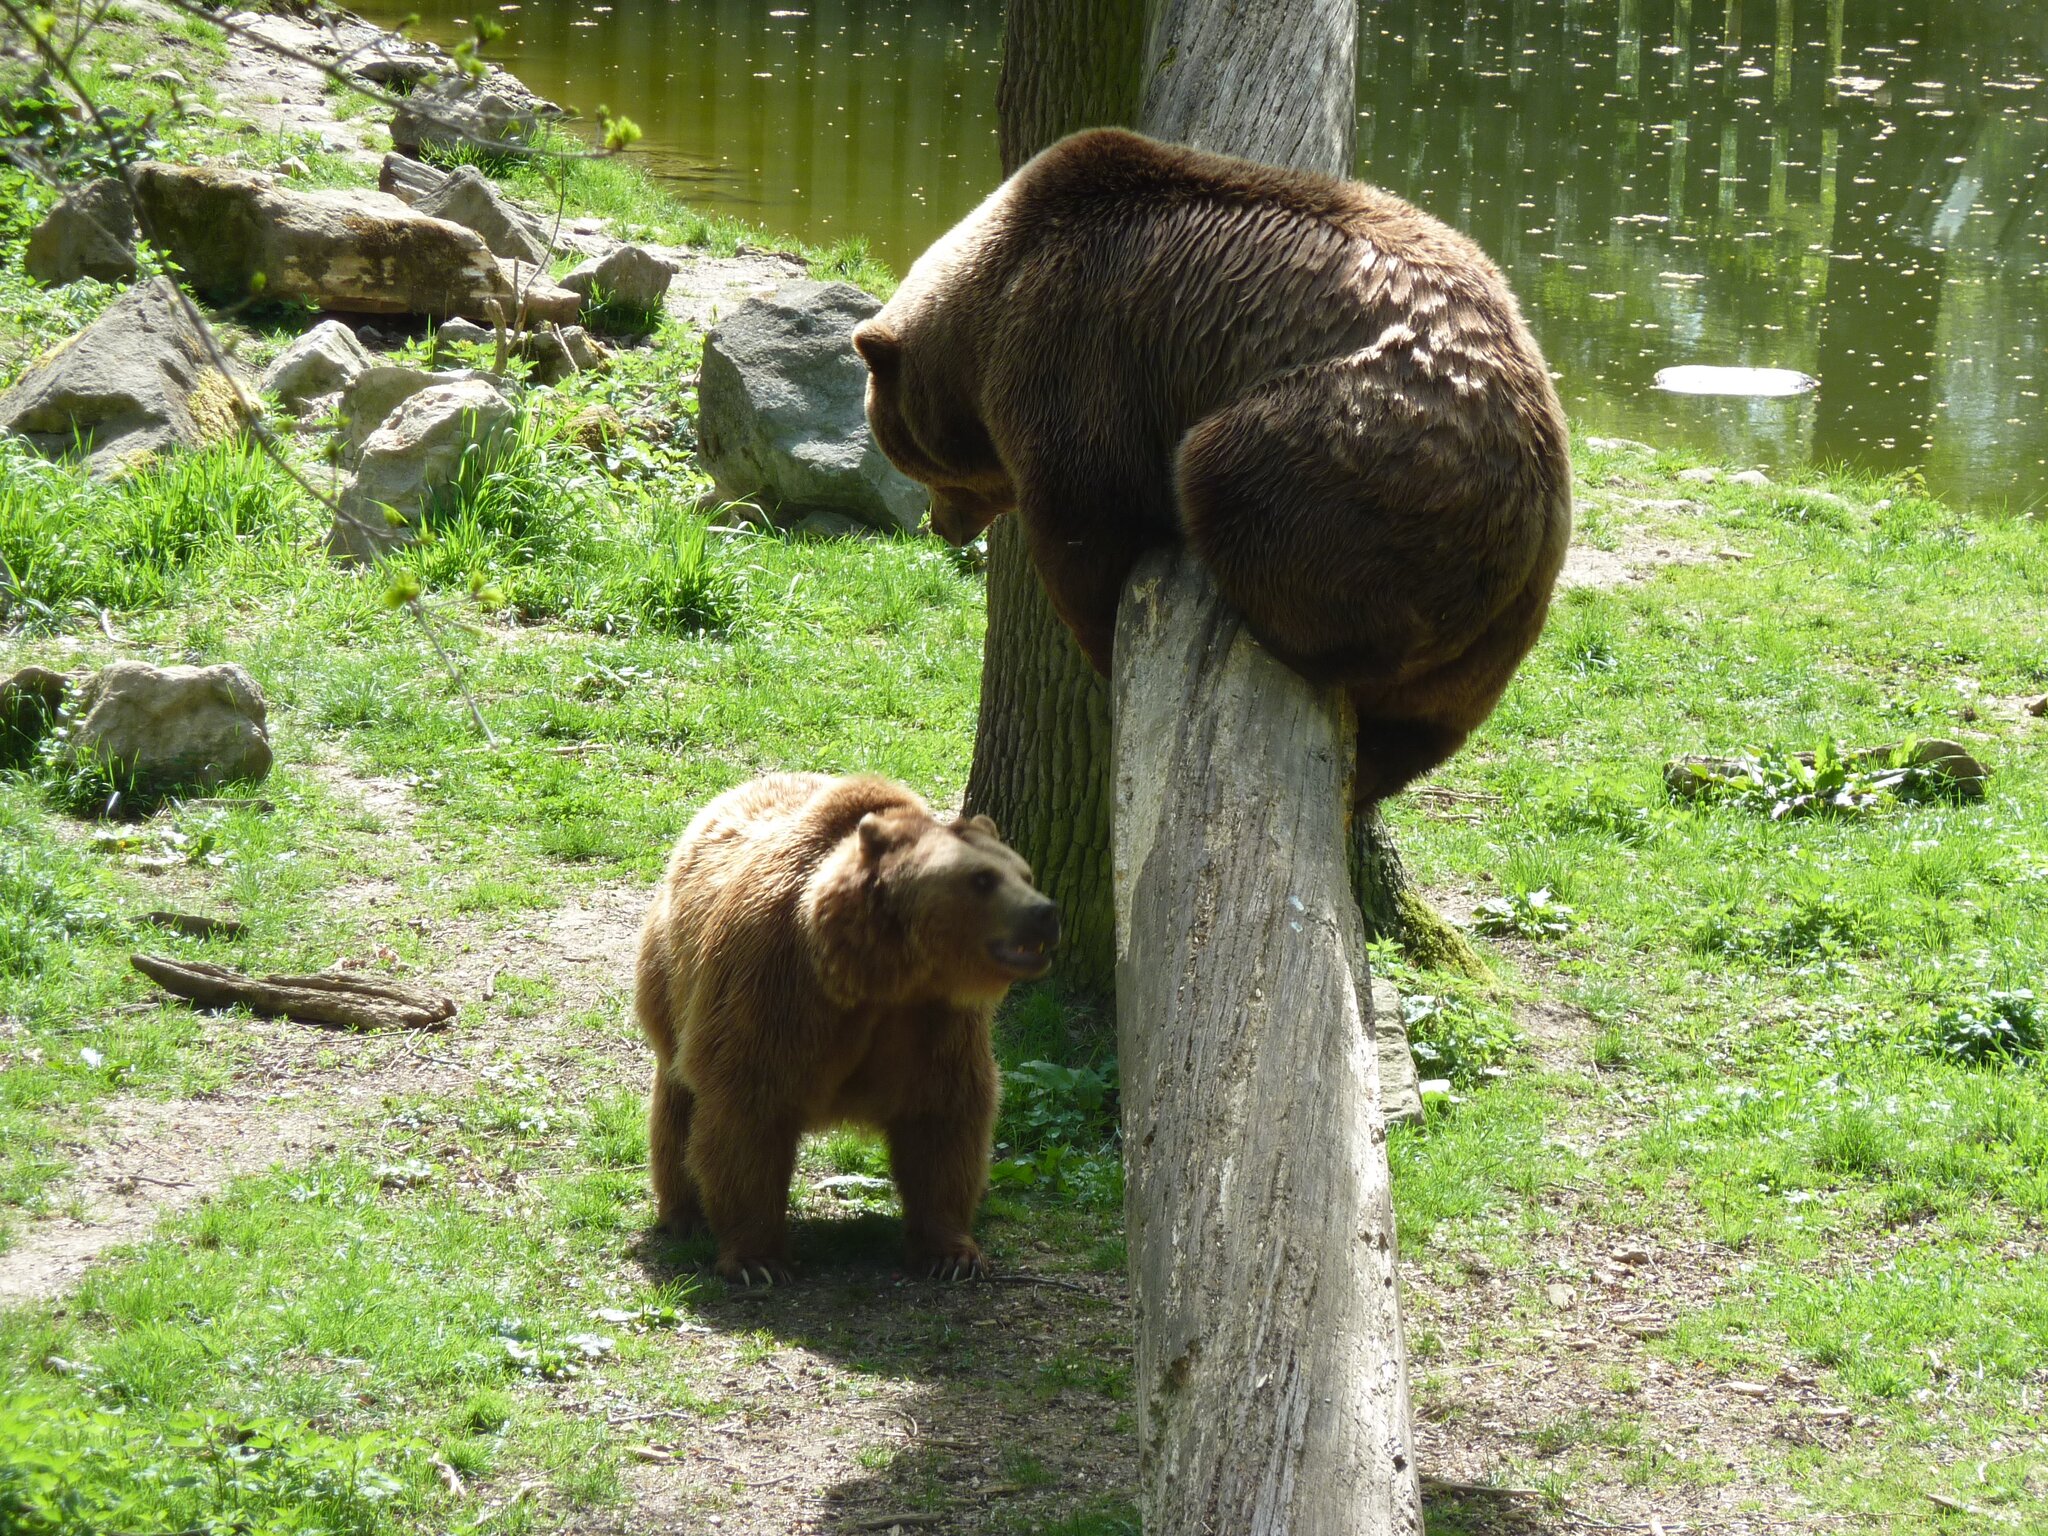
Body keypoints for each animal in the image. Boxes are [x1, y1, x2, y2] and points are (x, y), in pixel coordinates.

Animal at [635, 772, 1060, 1285]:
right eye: (982, 879)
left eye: (1025, 873)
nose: (1046, 912)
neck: (878, 978)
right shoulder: (775, 991)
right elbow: (747, 1114)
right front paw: (759, 1259)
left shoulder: (937, 1021)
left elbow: (945, 1119)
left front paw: (952, 1253)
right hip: (671, 976)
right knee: (679, 1100)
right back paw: (684, 1215)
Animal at [852, 127, 1572, 804]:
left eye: (915, 462)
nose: (941, 526)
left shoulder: (1073, 354)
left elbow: (1085, 524)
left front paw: (1099, 641)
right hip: (1491, 634)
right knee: (1426, 723)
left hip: (1369, 455)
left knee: (1230, 477)